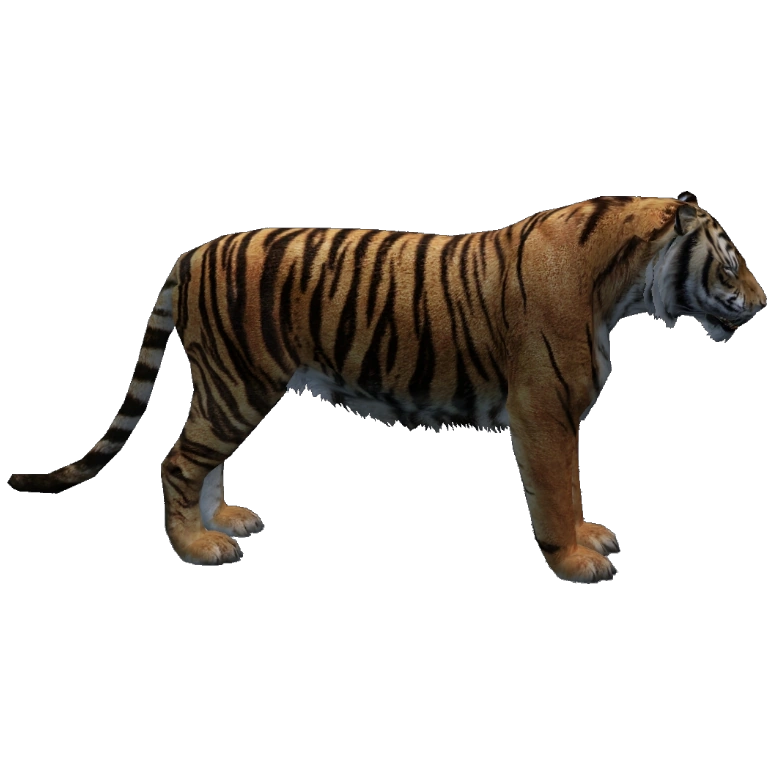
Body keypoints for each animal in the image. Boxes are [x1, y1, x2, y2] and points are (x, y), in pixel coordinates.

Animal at [8, 191, 767, 582]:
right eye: (730, 264)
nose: (762, 302)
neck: (622, 285)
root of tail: (194, 250)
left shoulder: (562, 410)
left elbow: (574, 482)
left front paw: (588, 536)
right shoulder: (544, 408)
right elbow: (557, 485)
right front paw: (573, 558)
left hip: (224, 381)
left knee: (198, 454)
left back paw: (223, 522)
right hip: (240, 381)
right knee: (177, 457)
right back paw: (196, 547)